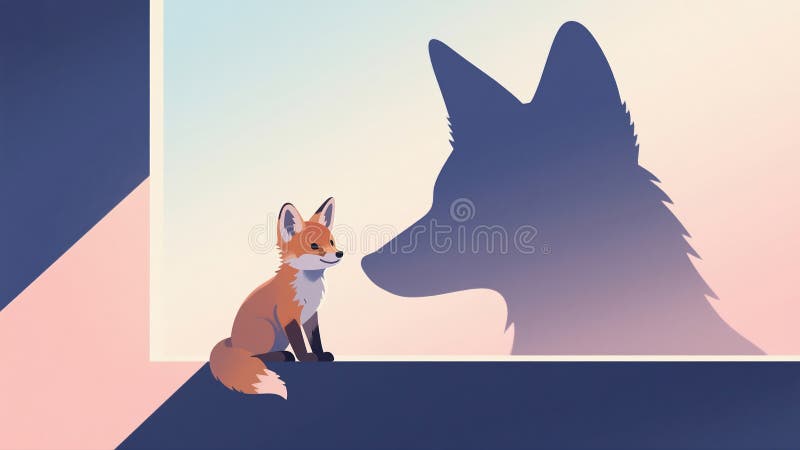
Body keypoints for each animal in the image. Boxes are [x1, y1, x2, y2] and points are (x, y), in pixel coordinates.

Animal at [210, 197, 342, 398]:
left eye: (332, 242)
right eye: (314, 246)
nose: (339, 253)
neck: (308, 287)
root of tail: (232, 341)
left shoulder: (311, 315)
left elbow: (315, 339)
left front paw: (321, 355)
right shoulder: (288, 315)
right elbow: (299, 343)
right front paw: (306, 358)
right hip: (268, 329)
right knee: (253, 356)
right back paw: (283, 355)